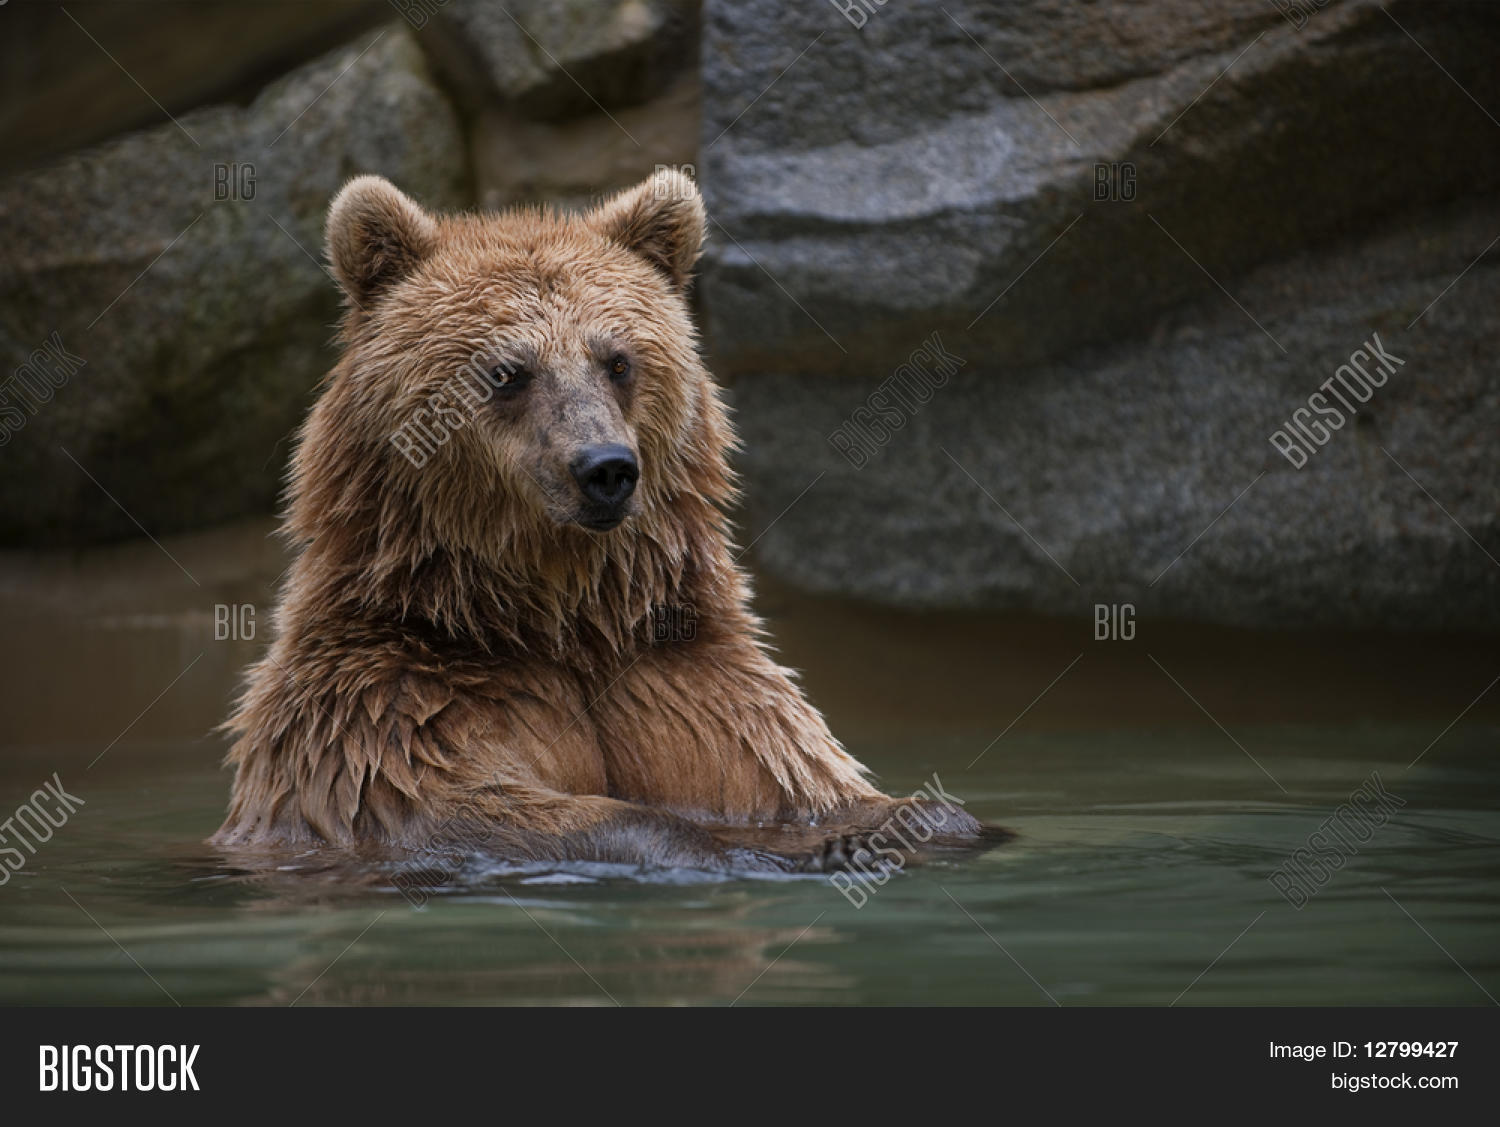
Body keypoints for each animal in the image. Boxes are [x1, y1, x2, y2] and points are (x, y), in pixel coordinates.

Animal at [211, 168, 983, 873]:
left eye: (618, 360)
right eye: (507, 371)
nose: (606, 468)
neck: (555, 619)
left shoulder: (682, 684)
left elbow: (793, 774)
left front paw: (924, 819)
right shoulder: (395, 710)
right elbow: (470, 802)